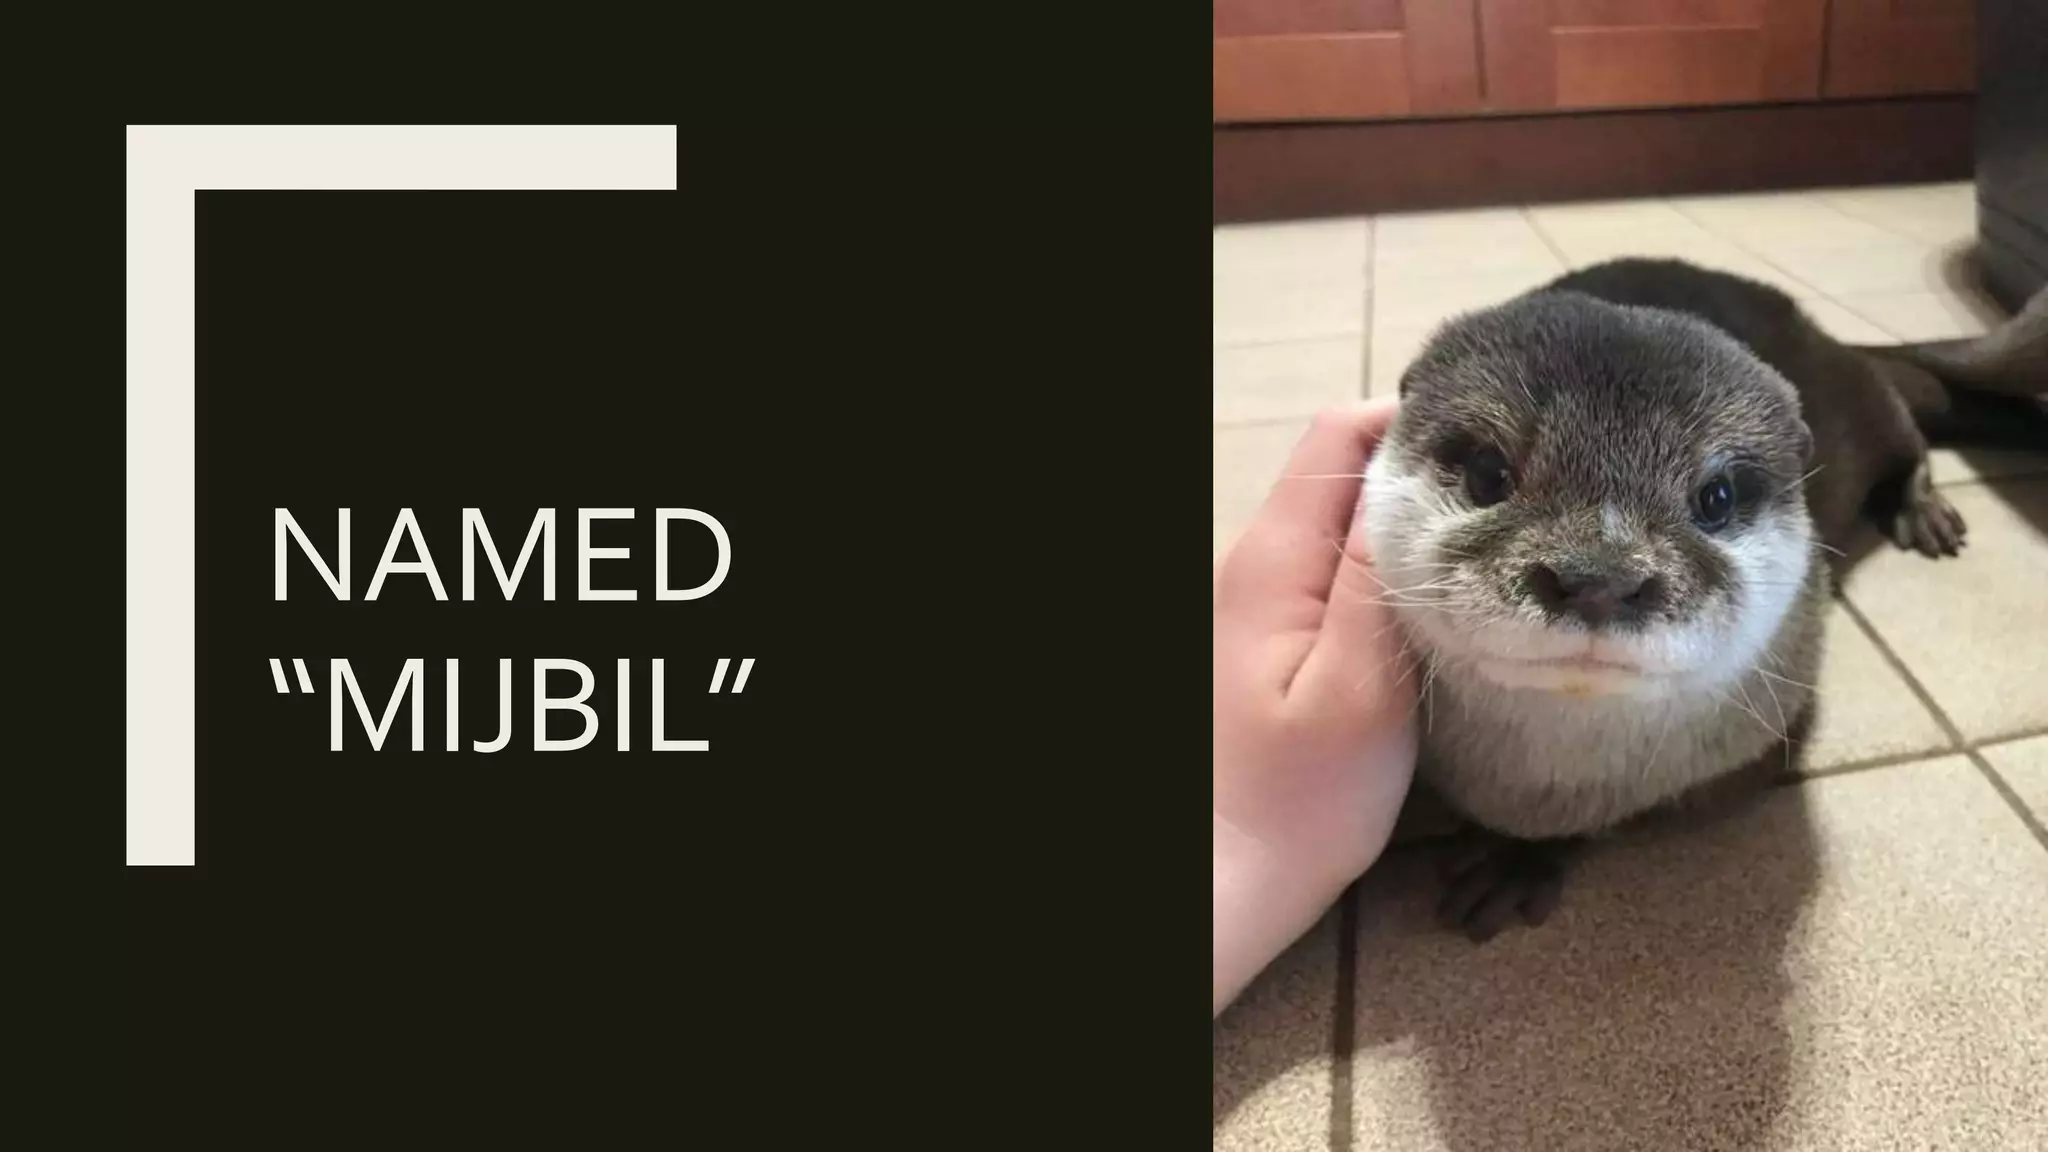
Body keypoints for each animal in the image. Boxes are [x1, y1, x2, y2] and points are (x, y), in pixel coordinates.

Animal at [1360, 257, 2046, 942]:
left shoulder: (1766, 741)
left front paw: (1519, 856)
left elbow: (1624, 816)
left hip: (1862, 397)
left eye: (1715, 498)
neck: (1530, 781)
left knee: (1909, 434)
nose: (1600, 576)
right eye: (1487, 471)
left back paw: (1921, 507)